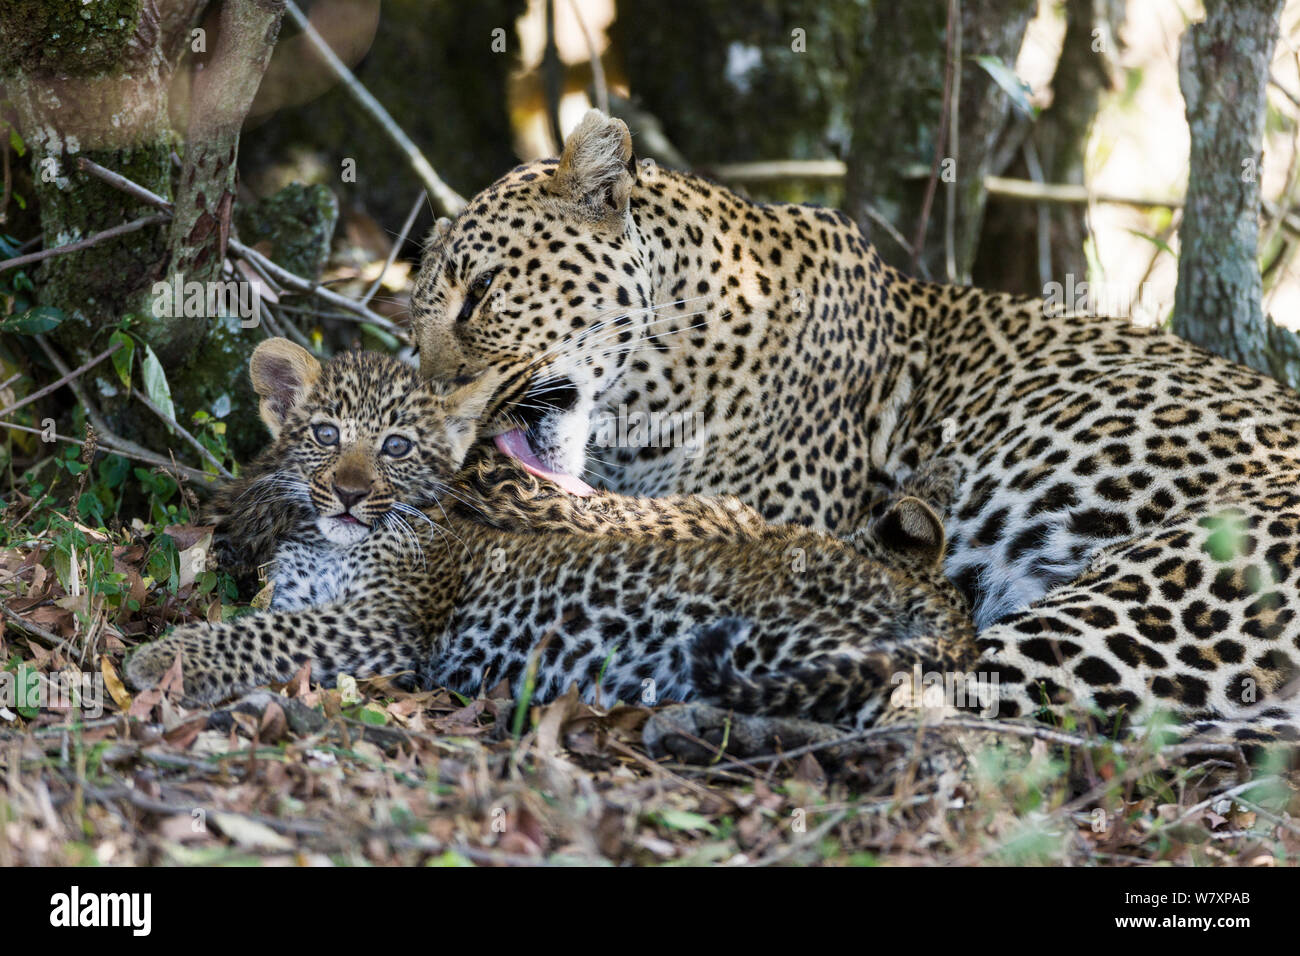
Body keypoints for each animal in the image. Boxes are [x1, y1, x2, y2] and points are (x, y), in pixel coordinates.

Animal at [125, 338, 978, 749]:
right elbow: (266, 618)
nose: (352, 492)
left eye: (396, 446)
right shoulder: (304, 591)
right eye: (327, 436)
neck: (326, 545)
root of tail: (945, 618)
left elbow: (263, 635)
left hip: (779, 641)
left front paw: (166, 657)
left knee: (908, 714)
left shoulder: (384, 623)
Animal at [407, 109, 1300, 742]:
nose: (438, 401)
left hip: (1166, 581)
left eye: (481, 291)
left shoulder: (768, 533)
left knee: (934, 702)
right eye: (417, 325)